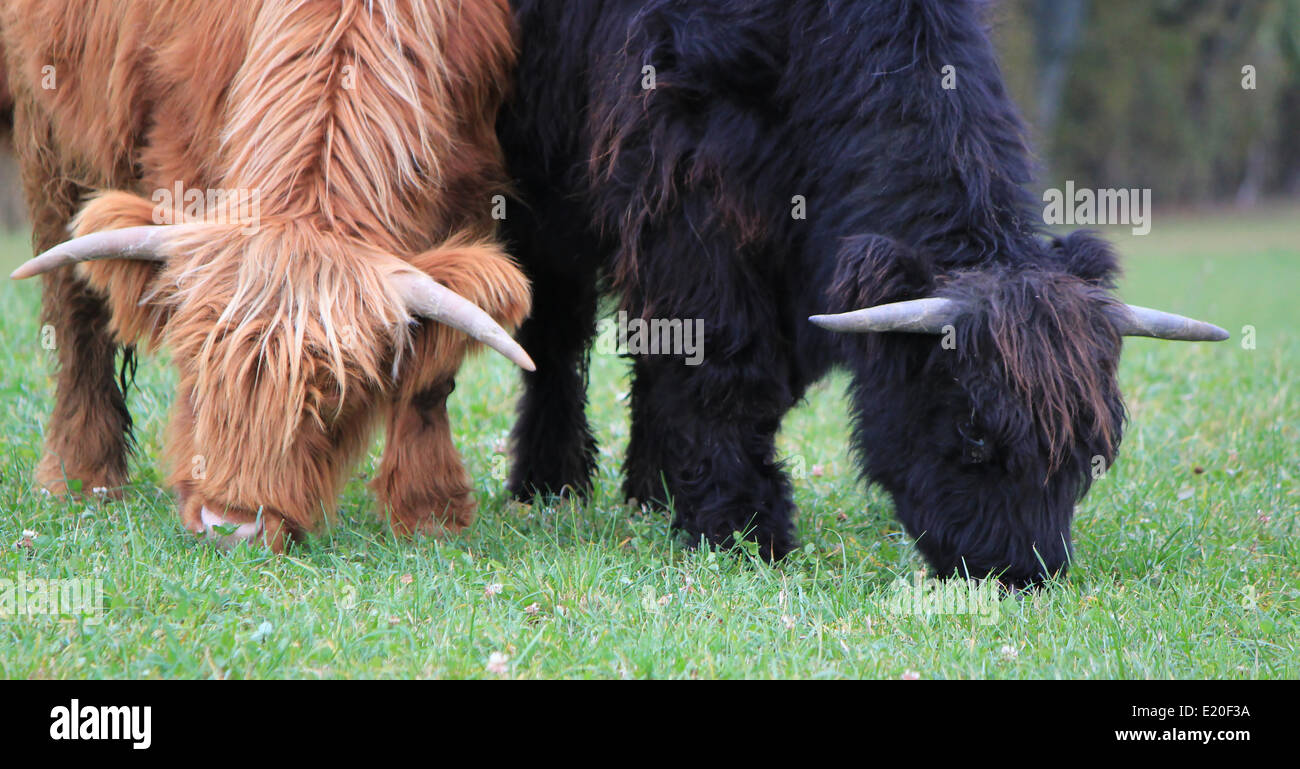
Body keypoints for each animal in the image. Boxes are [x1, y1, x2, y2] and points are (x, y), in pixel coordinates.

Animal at [3, 0, 533, 551]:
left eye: (331, 398)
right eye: (193, 371)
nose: (228, 525)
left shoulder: (468, 195)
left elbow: (431, 372)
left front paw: (430, 513)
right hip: (49, 142)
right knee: (76, 317)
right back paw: (79, 480)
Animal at [498, 0, 1228, 587]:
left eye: (1090, 445)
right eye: (972, 429)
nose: (1022, 572)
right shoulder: (690, 199)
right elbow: (722, 362)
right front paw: (742, 529)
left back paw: (646, 493)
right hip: (542, 198)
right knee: (556, 337)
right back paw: (549, 483)